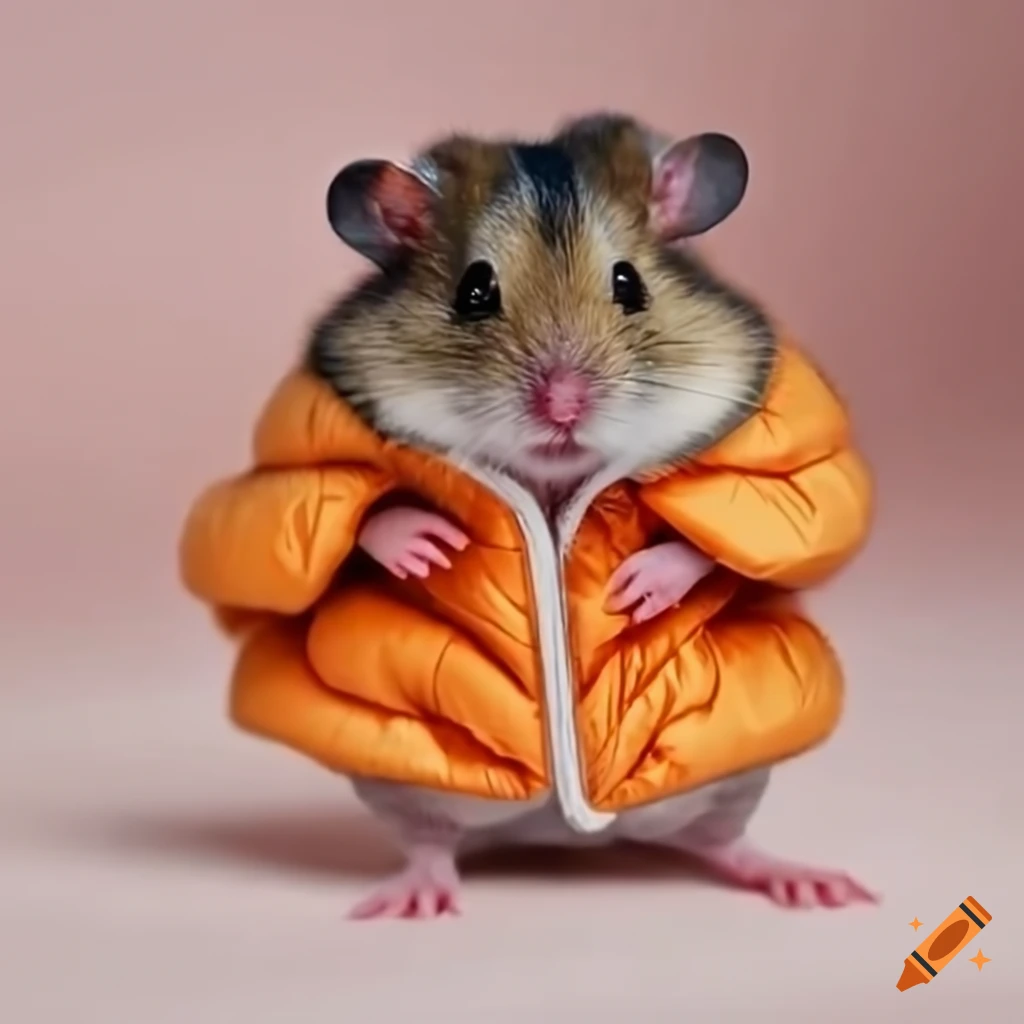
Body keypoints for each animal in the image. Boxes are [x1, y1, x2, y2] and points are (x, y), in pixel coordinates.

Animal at [307, 112, 875, 919]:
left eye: (629, 283)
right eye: (474, 290)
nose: (564, 406)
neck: (555, 480)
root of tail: (561, 831)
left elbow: (715, 546)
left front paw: (635, 590)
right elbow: (361, 517)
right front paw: (431, 546)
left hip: (732, 782)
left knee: (722, 843)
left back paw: (811, 884)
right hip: (402, 789)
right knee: (430, 847)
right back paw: (409, 899)